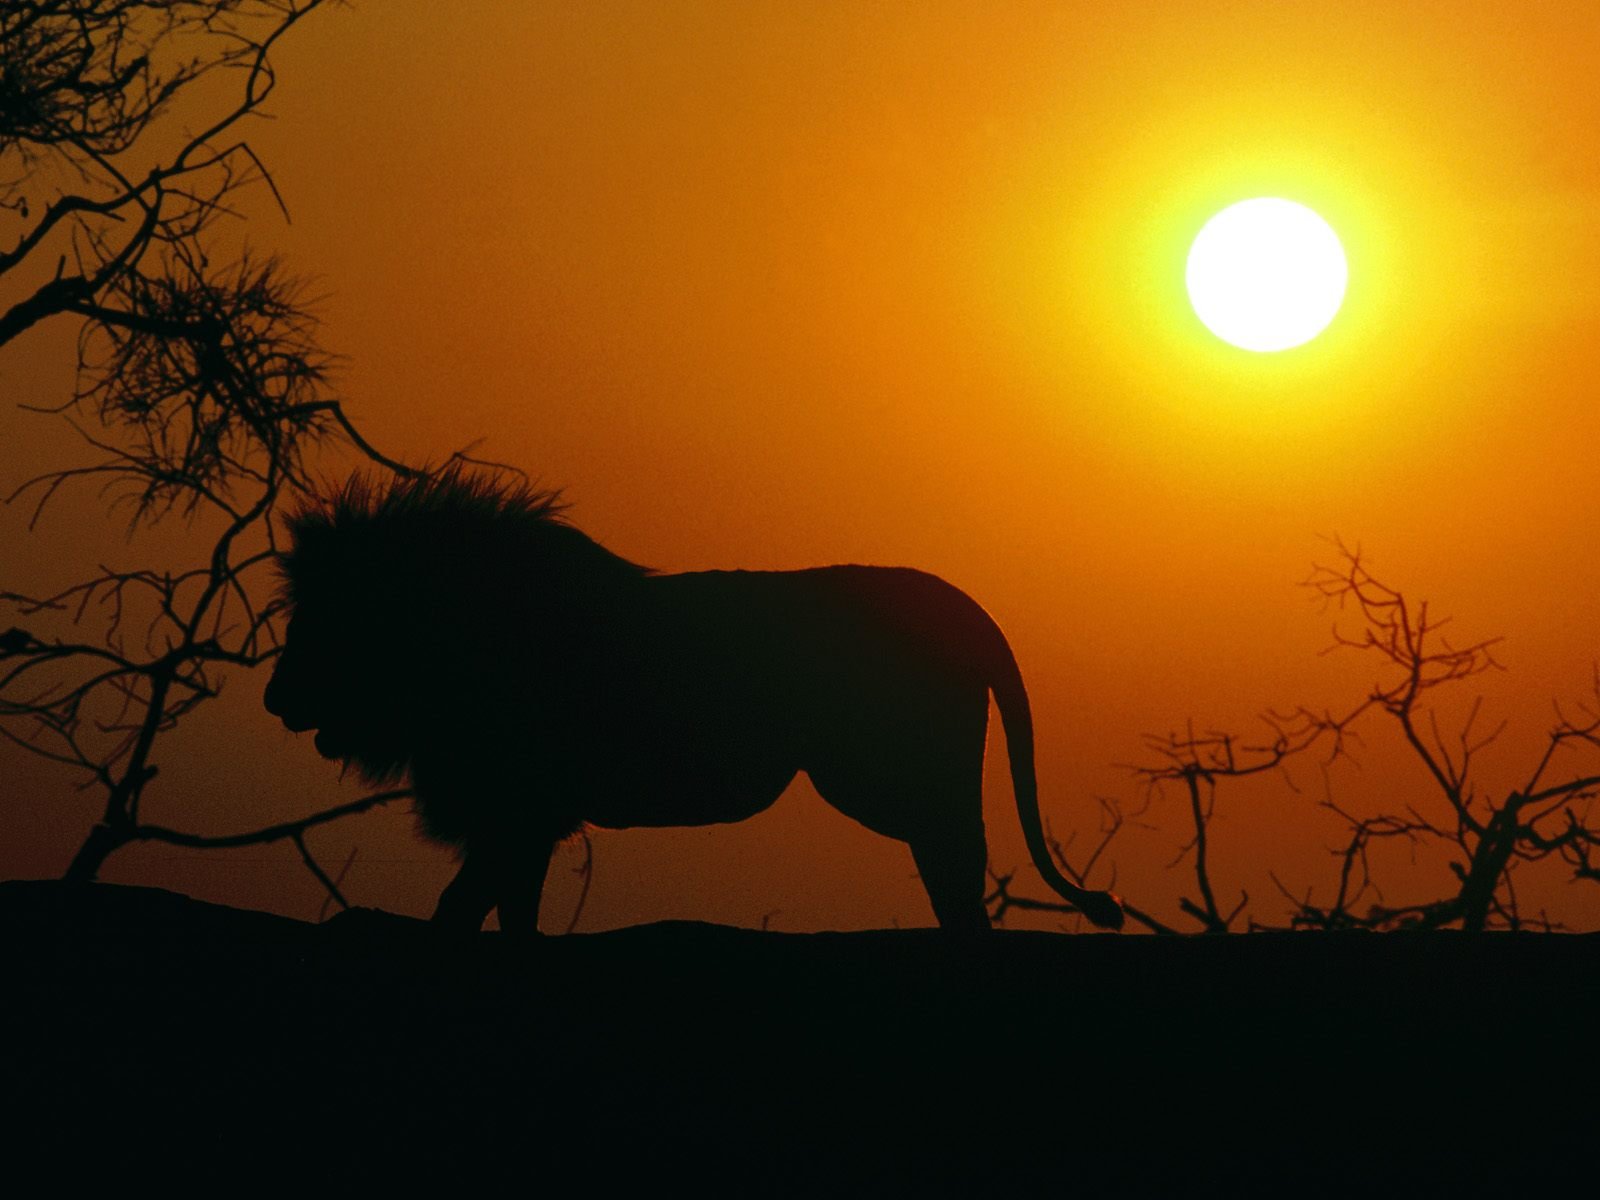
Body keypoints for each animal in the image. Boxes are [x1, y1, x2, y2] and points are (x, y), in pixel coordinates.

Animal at [264, 470, 1124, 934]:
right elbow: (504, 907)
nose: (274, 698)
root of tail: (963, 606)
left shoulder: (520, 808)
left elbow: (466, 901)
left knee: (956, 857)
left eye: (322, 625)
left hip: (888, 777)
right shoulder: (523, 818)